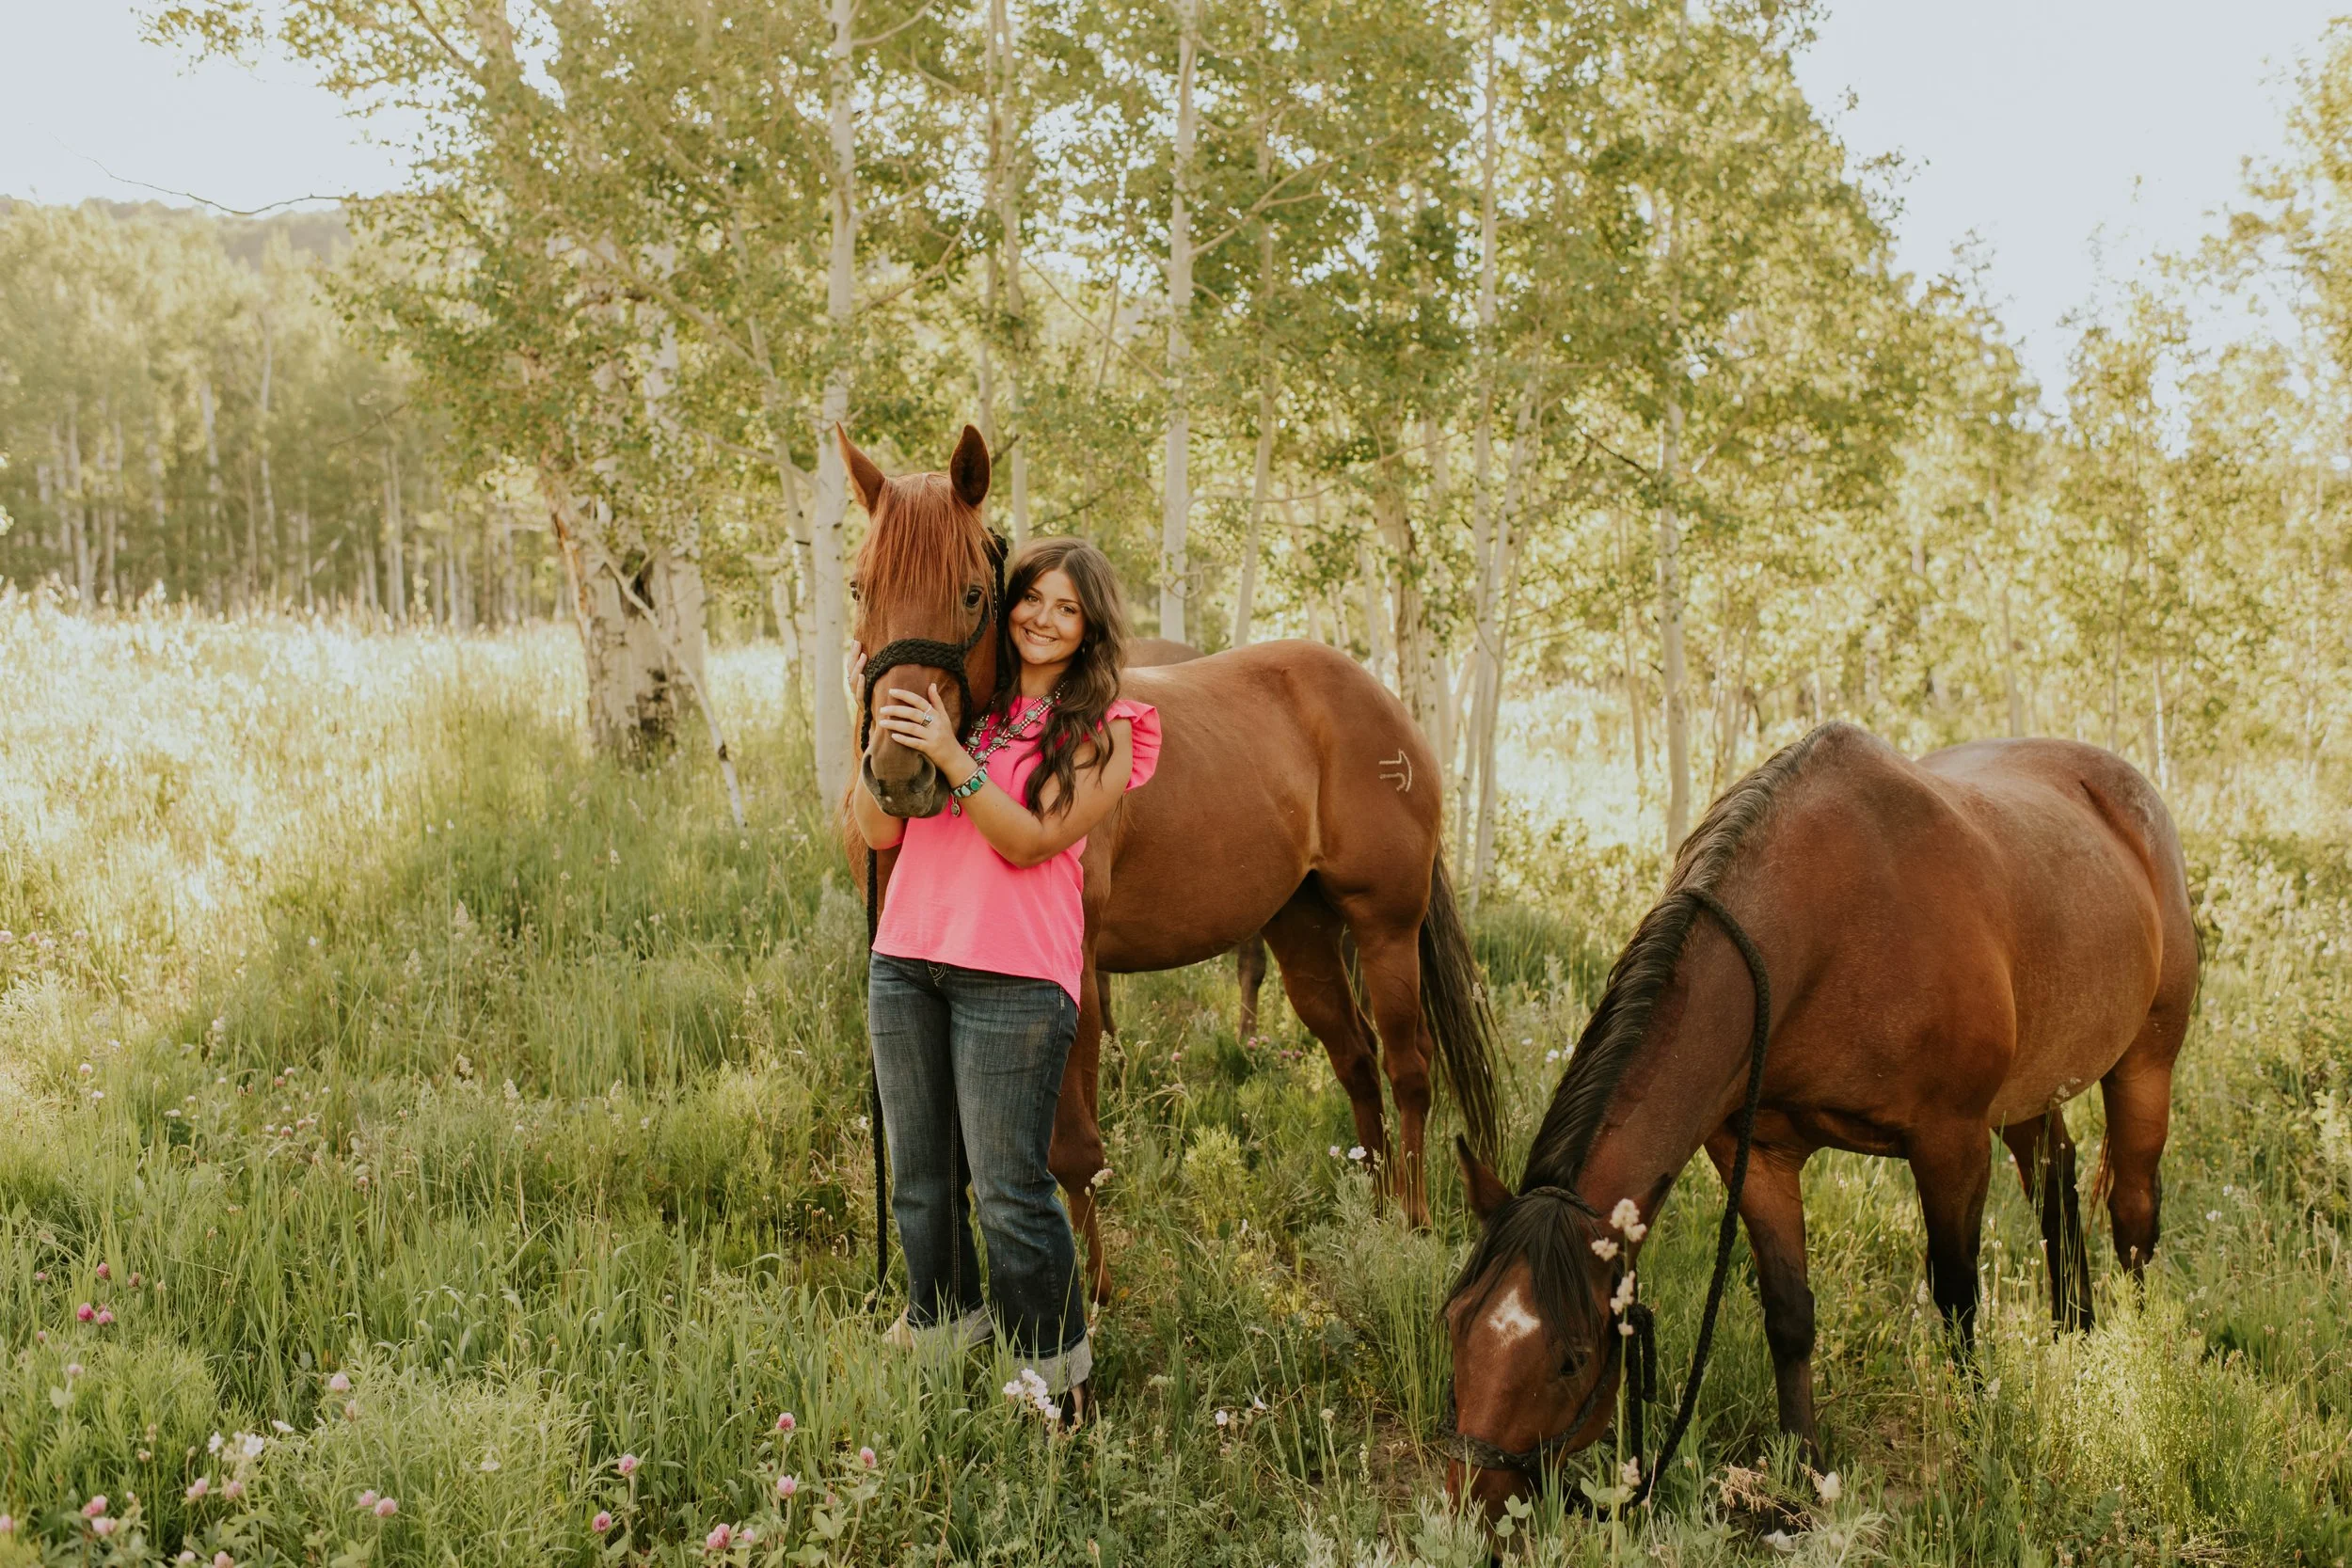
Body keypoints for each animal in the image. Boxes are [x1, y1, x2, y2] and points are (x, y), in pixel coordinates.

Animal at [842, 426, 1500, 1300]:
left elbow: (1073, 1151)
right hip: (1301, 932)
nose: (900, 773)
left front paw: (1093, 1294)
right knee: (1356, 1060)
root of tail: (1382, 701)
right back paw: (1373, 1208)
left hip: (1386, 929)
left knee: (1408, 1066)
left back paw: (1413, 1223)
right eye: (859, 587)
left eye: (972, 595)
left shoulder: (1076, 979)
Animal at [1441, 722, 2198, 1517]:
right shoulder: (1756, 1151)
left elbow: (1959, 1302)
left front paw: (1977, 1442)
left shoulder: (1951, 1142)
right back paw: (2074, 1334)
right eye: (1457, 1322)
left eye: (1572, 1358)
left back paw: (2132, 1359)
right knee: (2058, 1184)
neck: (1827, 930)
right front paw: (1801, 1467)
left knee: (2133, 1211)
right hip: (2029, 1093)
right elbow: (1788, 1313)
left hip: (2146, 1061)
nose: (1472, 1503)